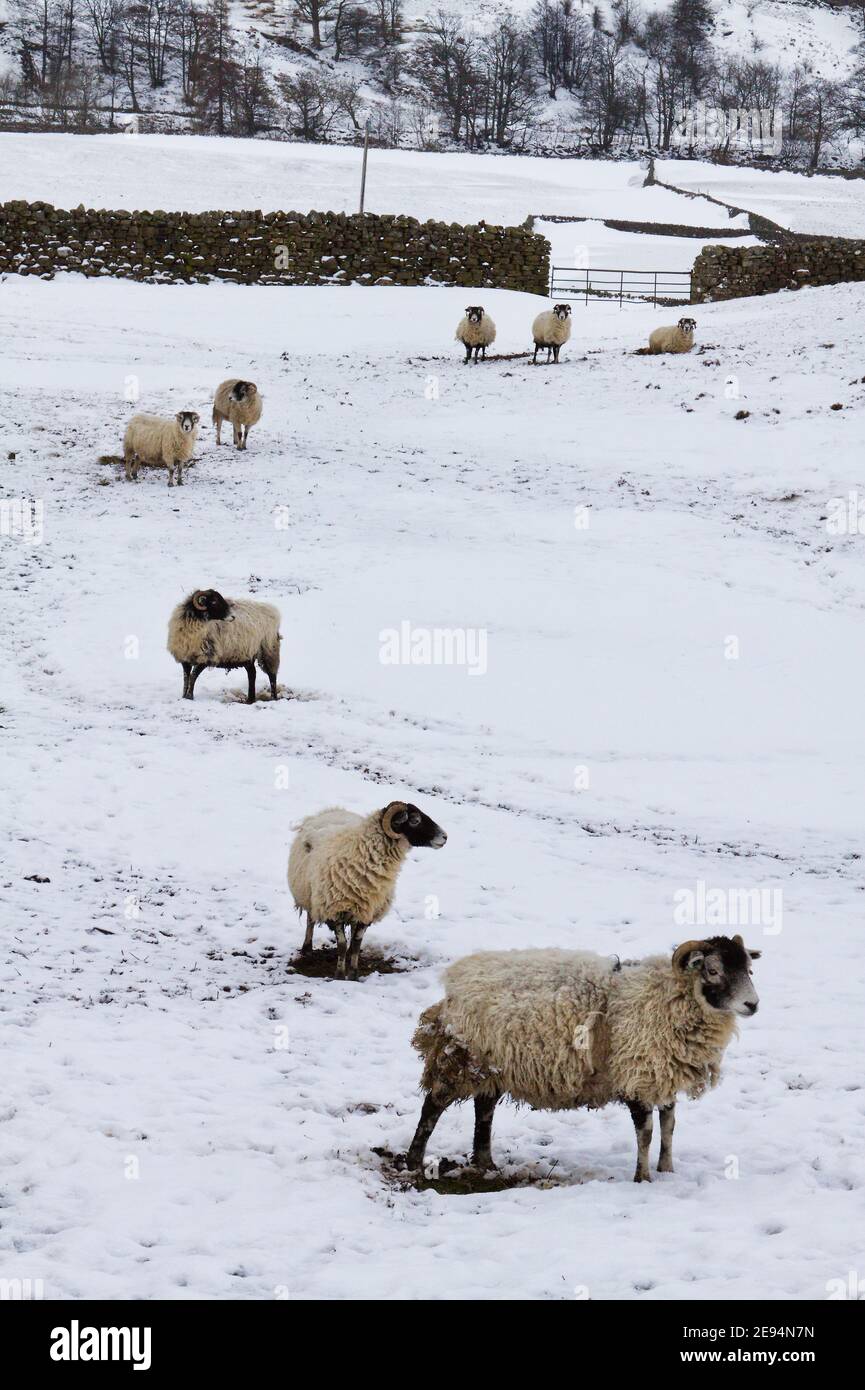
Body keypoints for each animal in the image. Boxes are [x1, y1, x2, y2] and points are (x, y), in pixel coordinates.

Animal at [288, 802, 447, 980]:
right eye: (415, 820)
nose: (445, 837)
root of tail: (331, 810)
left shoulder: (368, 911)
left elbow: (357, 943)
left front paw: (354, 973)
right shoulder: (334, 909)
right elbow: (341, 944)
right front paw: (339, 975)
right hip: (309, 894)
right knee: (310, 919)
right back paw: (307, 948)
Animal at [405, 933, 761, 1182]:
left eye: (749, 969)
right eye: (713, 970)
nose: (753, 1005)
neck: (668, 997)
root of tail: (455, 979)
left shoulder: (663, 1075)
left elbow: (670, 1126)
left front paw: (667, 1169)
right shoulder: (637, 1075)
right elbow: (646, 1132)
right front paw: (643, 1178)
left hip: (494, 1063)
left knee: (484, 1108)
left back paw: (486, 1163)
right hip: (464, 1058)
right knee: (433, 1105)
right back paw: (414, 1161)